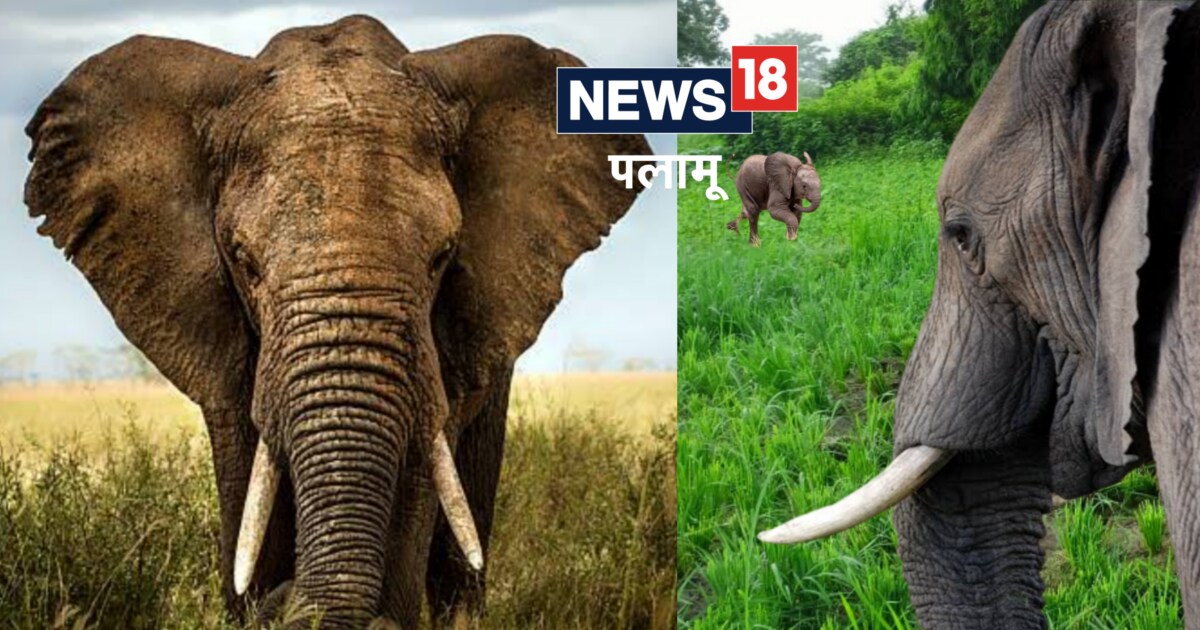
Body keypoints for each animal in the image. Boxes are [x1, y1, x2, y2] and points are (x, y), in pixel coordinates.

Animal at [22, 16, 647, 628]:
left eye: (443, 256)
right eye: (244, 261)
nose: (287, 599)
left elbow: (420, 472)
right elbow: (247, 473)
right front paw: (255, 600)